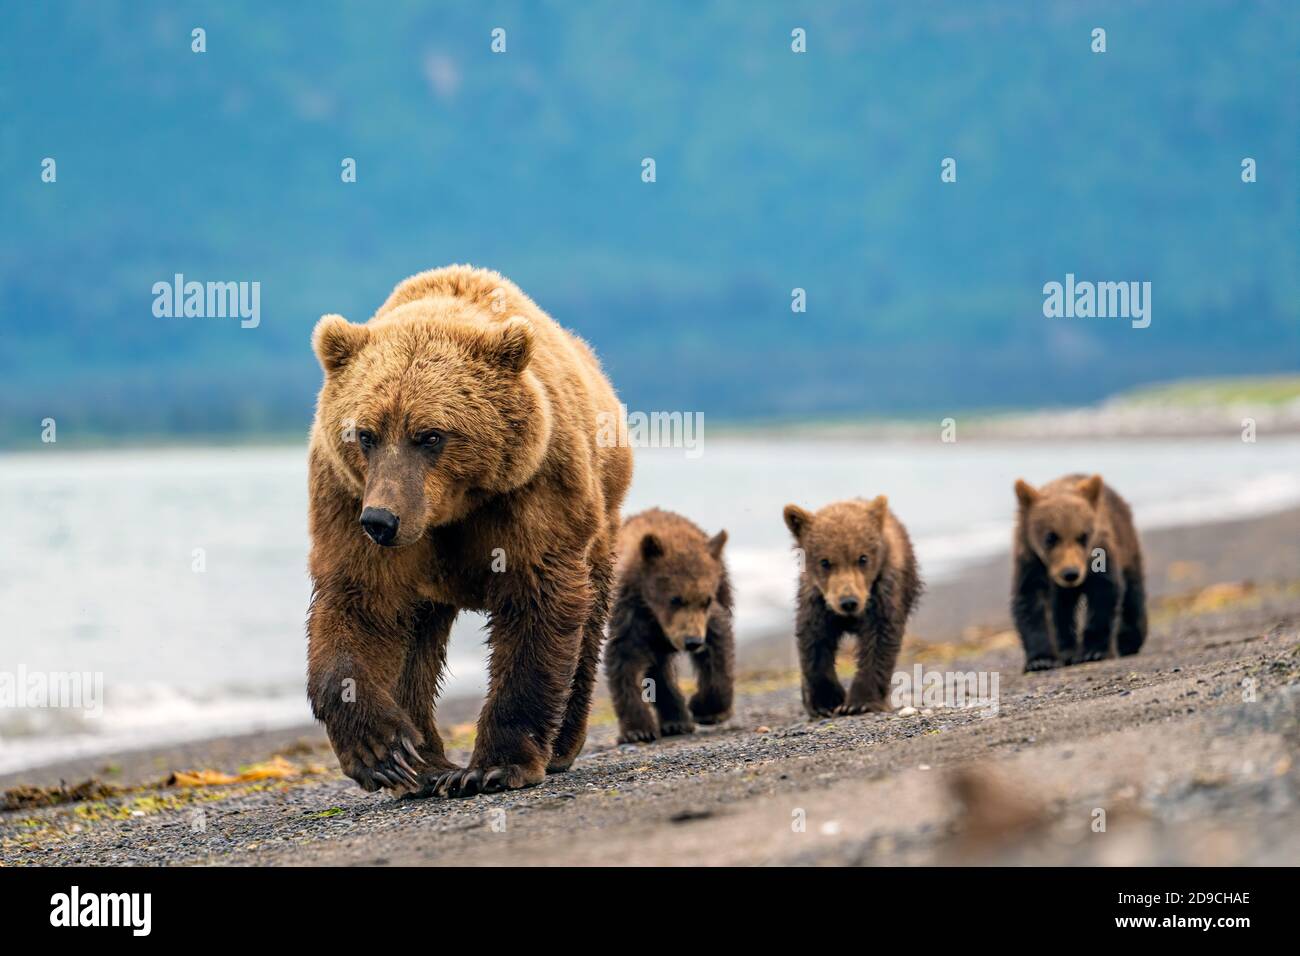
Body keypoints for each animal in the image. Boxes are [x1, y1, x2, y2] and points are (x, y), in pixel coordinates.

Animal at [305, 265, 632, 798]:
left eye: (430, 435)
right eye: (365, 434)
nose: (382, 521)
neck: (449, 511)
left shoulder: (531, 488)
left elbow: (536, 601)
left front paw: (495, 766)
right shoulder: (348, 496)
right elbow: (359, 603)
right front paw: (384, 751)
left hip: (601, 513)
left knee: (589, 617)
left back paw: (561, 744)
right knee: (415, 643)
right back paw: (427, 766)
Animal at [604, 509, 735, 743]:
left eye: (706, 600)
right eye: (675, 599)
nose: (692, 642)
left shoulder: (708, 617)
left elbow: (718, 651)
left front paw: (707, 709)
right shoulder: (629, 615)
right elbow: (623, 661)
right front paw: (638, 730)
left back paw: (677, 722)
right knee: (658, 668)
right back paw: (675, 721)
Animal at [783, 496, 921, 719]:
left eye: (862, 557)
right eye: (825, 561)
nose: (848, 602)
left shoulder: (882, 592)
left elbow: (879, 639)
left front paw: (859, 702)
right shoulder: (817, 600)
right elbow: (814, 640)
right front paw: (826, 701)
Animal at [1011, 473, 1147, 671]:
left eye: (1083, 536)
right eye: (1050, 537)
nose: (1070, 573)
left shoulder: (1102, 552)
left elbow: (1104, 595)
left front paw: (1094, 651)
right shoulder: (1030, 561)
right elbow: (1030, 603)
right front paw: (1040, 660)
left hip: (1127, 543)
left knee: (1133, 592)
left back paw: (1129, 642)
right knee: (1061, 609)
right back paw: (1067, 651)